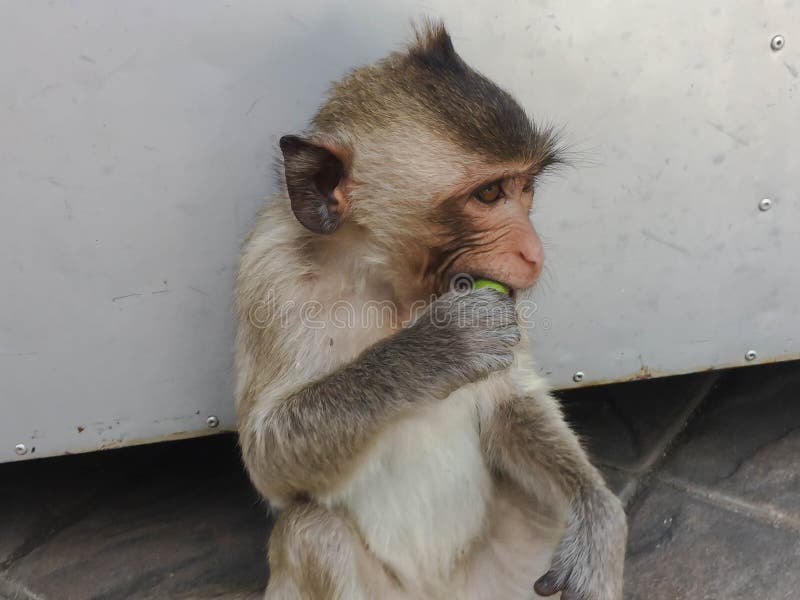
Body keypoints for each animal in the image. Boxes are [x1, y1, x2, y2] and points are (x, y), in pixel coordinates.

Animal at [234, 21, 626, 600]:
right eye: (489, 193)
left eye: (526, 187)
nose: (533, 253)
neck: (387, 285)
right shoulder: (270, 277)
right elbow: (268, 460)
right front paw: (442, 344)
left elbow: (510, 401)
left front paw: (599, 518)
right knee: (313, 532)